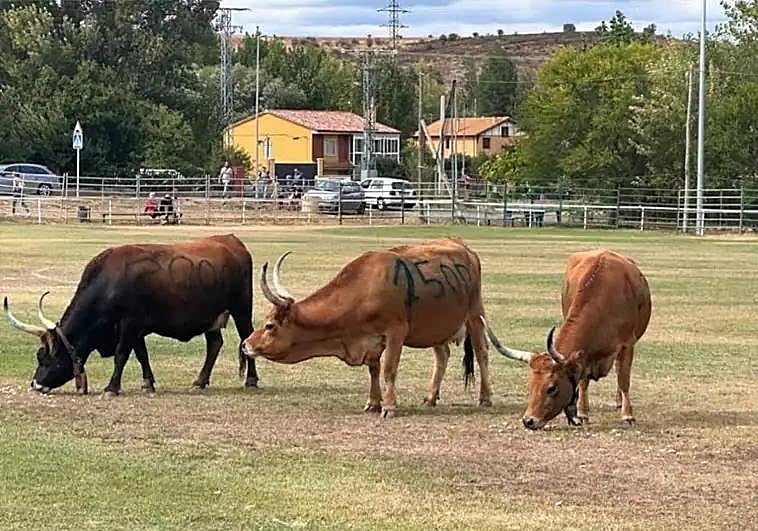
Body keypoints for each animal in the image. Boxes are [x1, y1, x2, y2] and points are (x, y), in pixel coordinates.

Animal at [3, 234, 259, 396]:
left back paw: (251, 380)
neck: (110, 282)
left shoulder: (129, 325)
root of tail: (231, 240)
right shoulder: (135, 328)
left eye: (45, 358)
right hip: (211, 317)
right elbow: (141, 355)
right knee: (214, 344)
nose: (36, 384)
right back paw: (200, 381)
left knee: (246, 338)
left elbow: (121, 355)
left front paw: (111, 388)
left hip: (241, 309)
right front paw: (148, 384)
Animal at [242, 238, 492, 417]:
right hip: (435, 327)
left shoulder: (395, 333)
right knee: (442, 356)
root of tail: (464, 247)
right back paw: (431, 397)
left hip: (475, 314)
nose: (246, 344)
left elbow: (389, 370)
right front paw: (373, 402)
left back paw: (485, 397)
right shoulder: (370, 338)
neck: (365, 288)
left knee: (482, 353)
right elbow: (374, 369)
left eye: (270, 325)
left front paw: (389, 407)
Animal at [482, 249, 651, 430]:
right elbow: (583, 381)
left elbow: (624, 379)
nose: (528, 420)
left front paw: (628, 415)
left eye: (551, 388)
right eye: (531, 384)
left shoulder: (628, 344)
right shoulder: (584, 356)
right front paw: (582, 413)